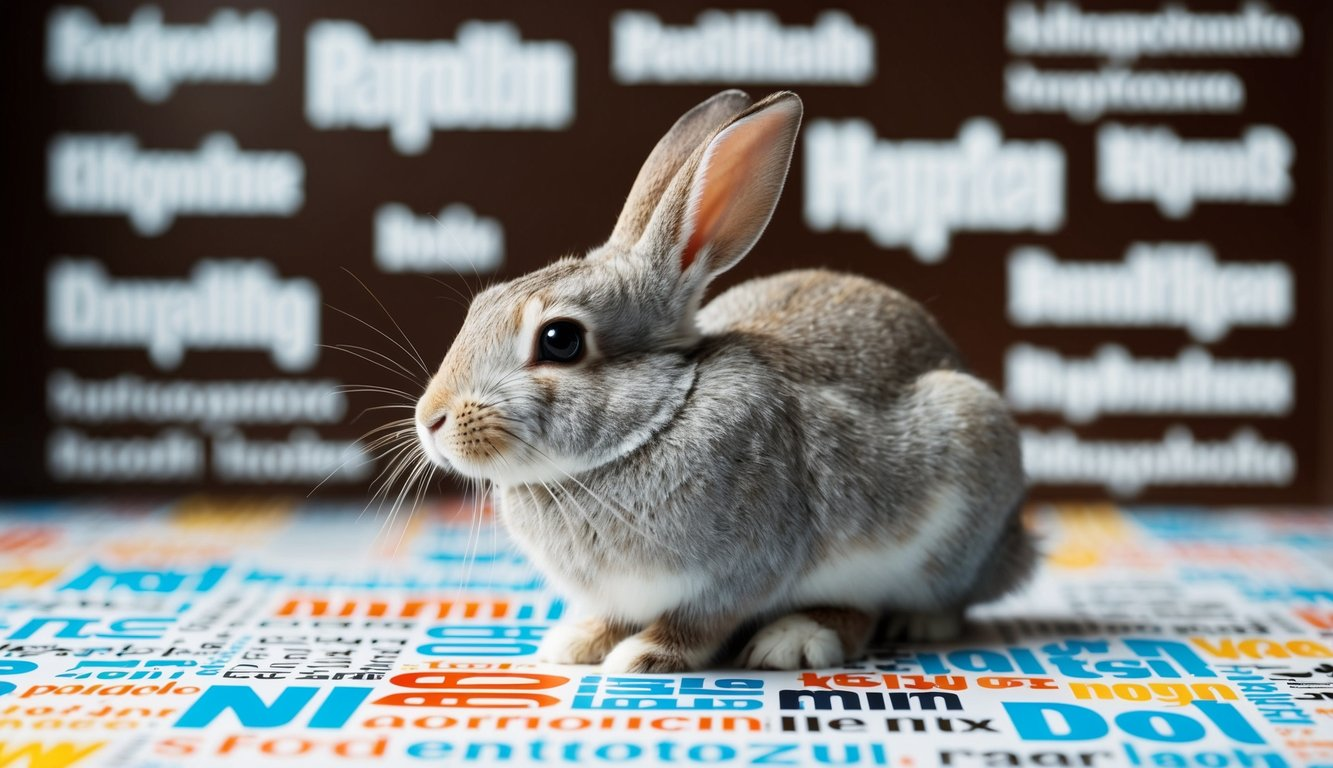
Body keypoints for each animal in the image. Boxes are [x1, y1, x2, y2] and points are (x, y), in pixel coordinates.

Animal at [413, 89, 1034, 673]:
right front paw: (576, 642)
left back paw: (814, 637)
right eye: (481, 305)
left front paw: (643, 656)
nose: (430, 421)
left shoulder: (741, 572)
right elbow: (612, 618)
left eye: (560, 340)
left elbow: (698, 624)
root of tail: (1015, 548)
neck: (659, 419)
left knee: (879, 606)